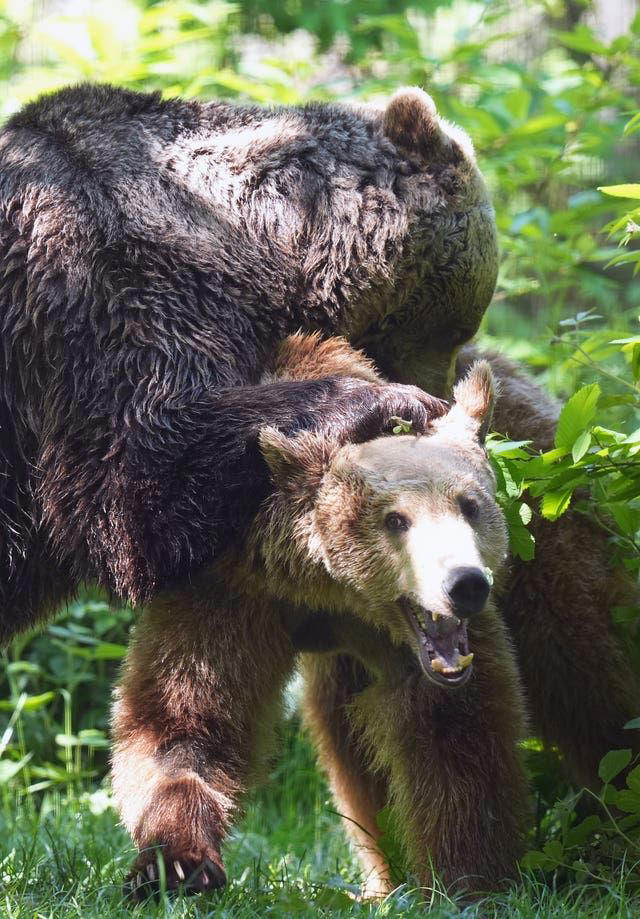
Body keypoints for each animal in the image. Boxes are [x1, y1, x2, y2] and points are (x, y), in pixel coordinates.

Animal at [112, 332, 529, 899]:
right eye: (396, 519)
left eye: (470, 505)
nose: (464, 585)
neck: (329, 590)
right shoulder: (231, 590)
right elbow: (186, 721)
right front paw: (176, 863)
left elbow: (457, 747)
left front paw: (465, 877)